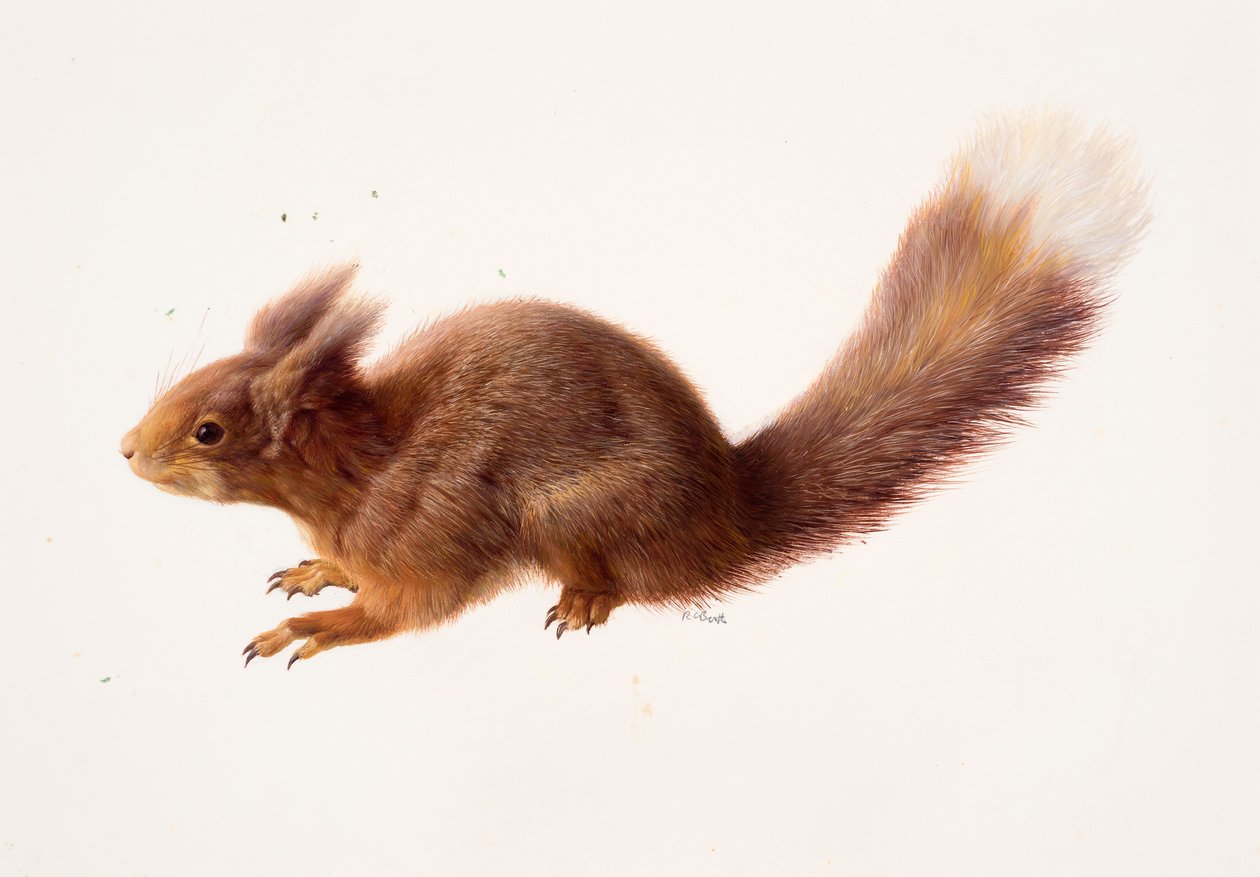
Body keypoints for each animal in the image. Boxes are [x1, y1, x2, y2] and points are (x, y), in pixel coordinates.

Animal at [121, 111, 1149, 667]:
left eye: (210, 429)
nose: (125, 450)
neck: (354, 471)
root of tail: (727, 518)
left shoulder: (433, 536)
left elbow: (404, 609)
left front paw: (317, 625)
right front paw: (313, 571)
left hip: (569, 512)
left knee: (616, 583)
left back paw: (583, 603)